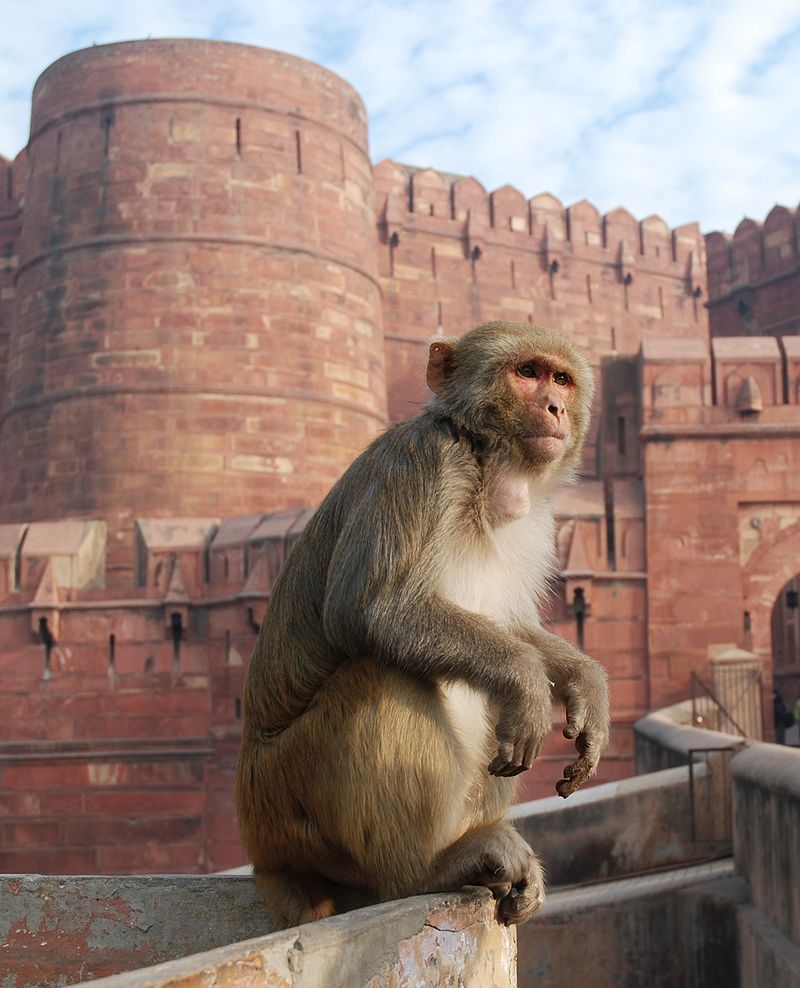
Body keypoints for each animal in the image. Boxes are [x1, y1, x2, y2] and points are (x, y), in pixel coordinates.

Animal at [235, 320, 610, 930]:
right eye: (527, 372)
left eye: (562, 379)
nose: (555, 406)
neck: (486, 471)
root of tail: (264, 858)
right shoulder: (422, 464)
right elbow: (371, 609)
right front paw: (529, 682)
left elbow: (512, 626)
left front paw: (586, 684)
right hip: (287, 809)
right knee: (383, 675)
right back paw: (424, 870)